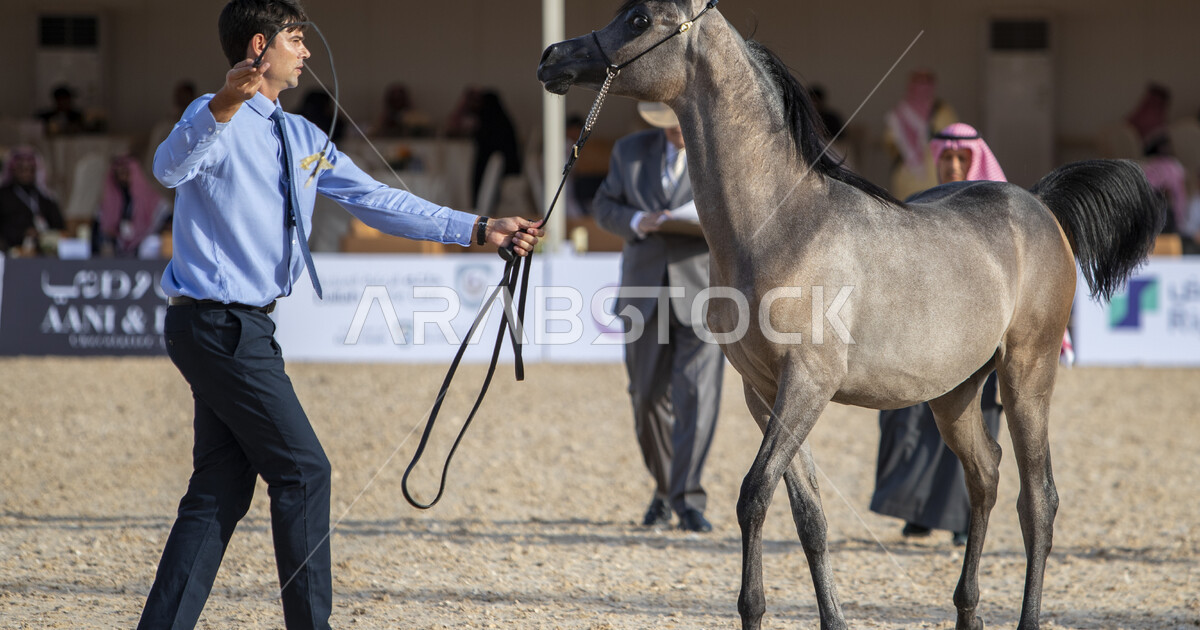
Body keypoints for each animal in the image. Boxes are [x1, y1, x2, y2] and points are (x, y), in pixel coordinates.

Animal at [537, 1, 1162, 629]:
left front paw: (753, 608)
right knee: (984, 475)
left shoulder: (807, 383)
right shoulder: (764, 392)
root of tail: (1039, 204)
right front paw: (827, 617)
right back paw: (967, 608)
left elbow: (754, 494)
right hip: (955, 391)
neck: (782, 225)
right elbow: (808, 515)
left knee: (1038, 501)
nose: (552, 58)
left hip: (1028, 373)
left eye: (640, 19)